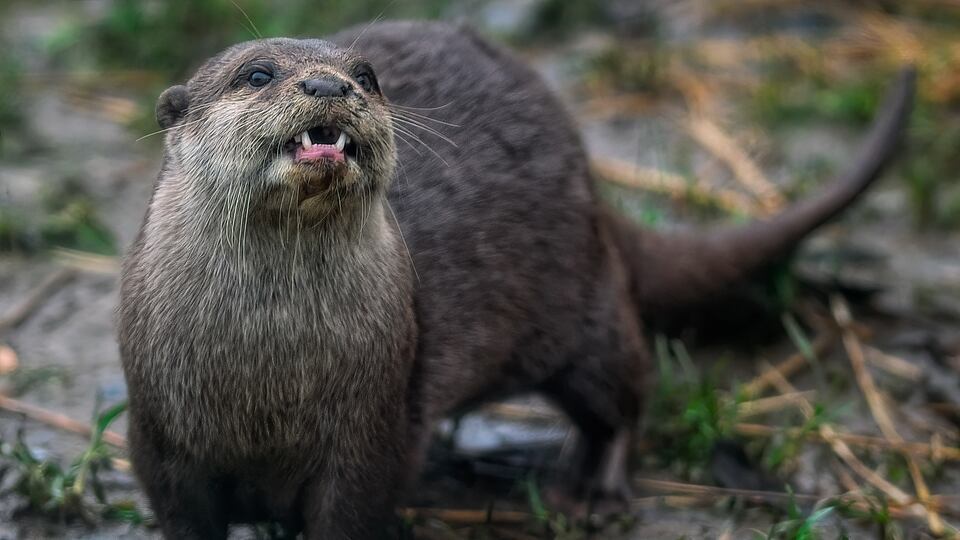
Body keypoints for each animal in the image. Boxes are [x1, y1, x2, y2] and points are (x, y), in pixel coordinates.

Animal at [117, 21, 914, 539]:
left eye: (367, 77)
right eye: (257, 74)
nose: (328, 83)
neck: (266, 377)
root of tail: (593, 181)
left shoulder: (373, 429)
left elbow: (351, 512)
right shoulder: (160, 438)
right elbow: (184, 515)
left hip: (582, 307)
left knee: (625, 390)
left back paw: (592, 491)